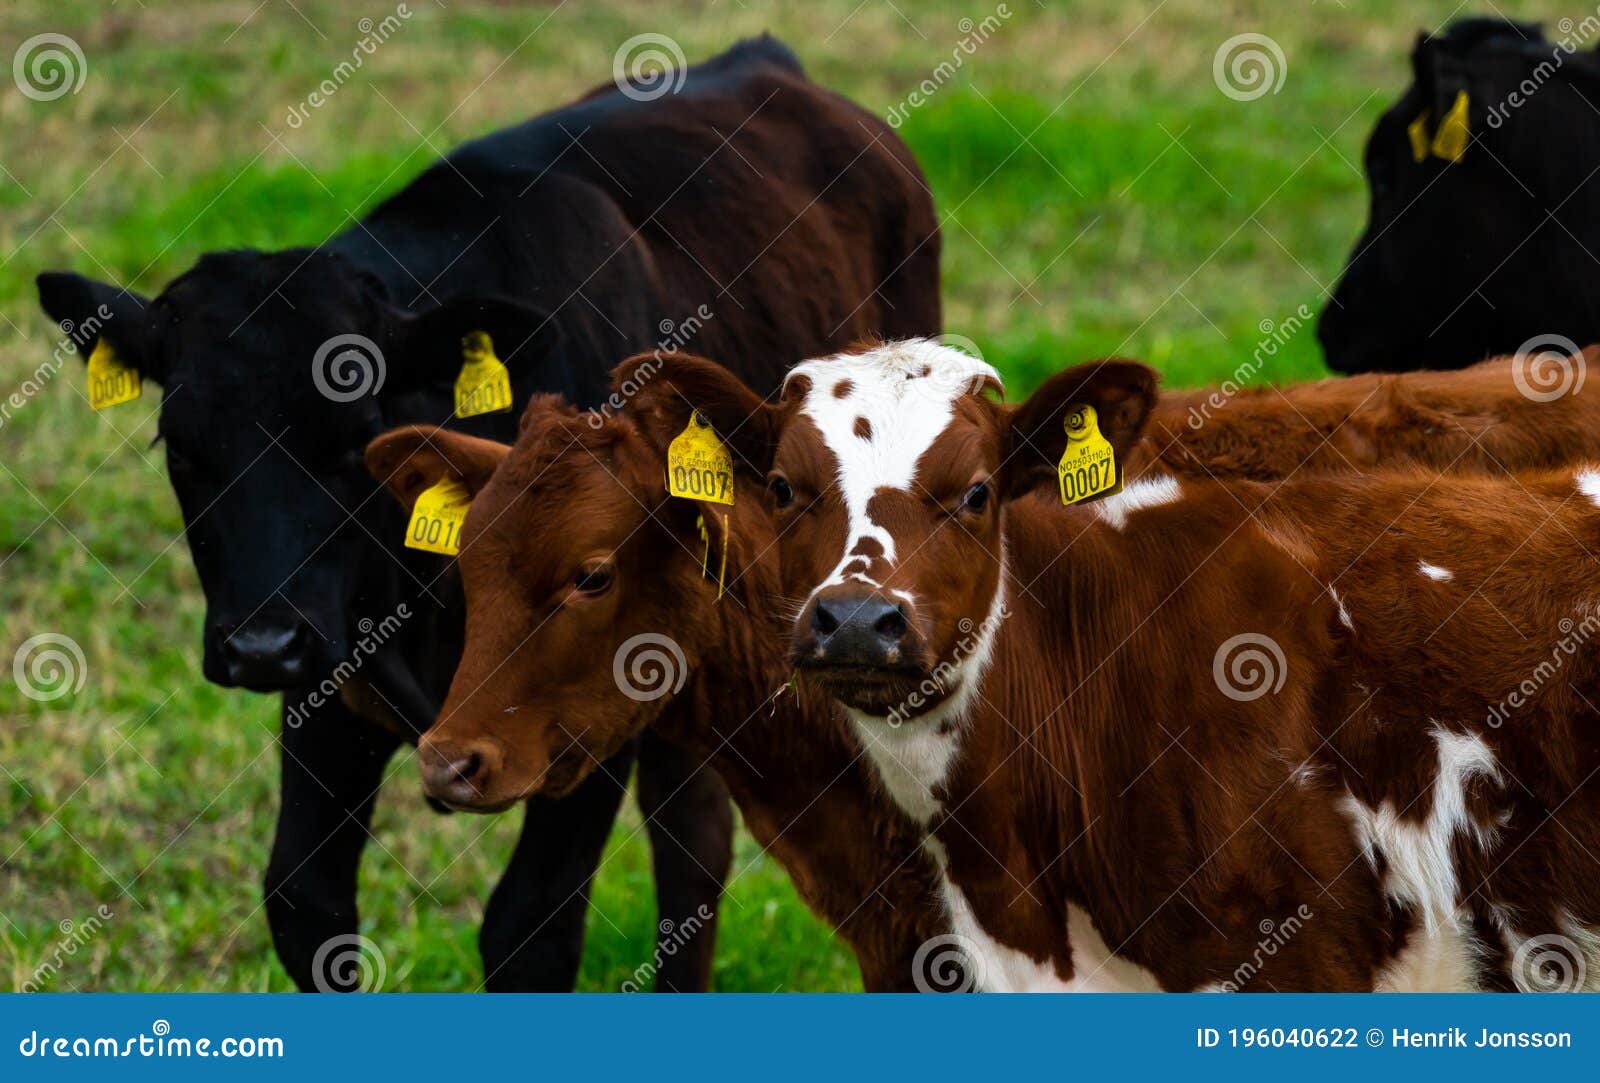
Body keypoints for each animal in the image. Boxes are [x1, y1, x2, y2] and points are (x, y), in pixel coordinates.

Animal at [34, 36, 940, 991]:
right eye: (179, 446)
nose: (261, 646)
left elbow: (529, 922)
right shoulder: (332, 685)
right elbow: (305, 901)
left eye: (354, 440)